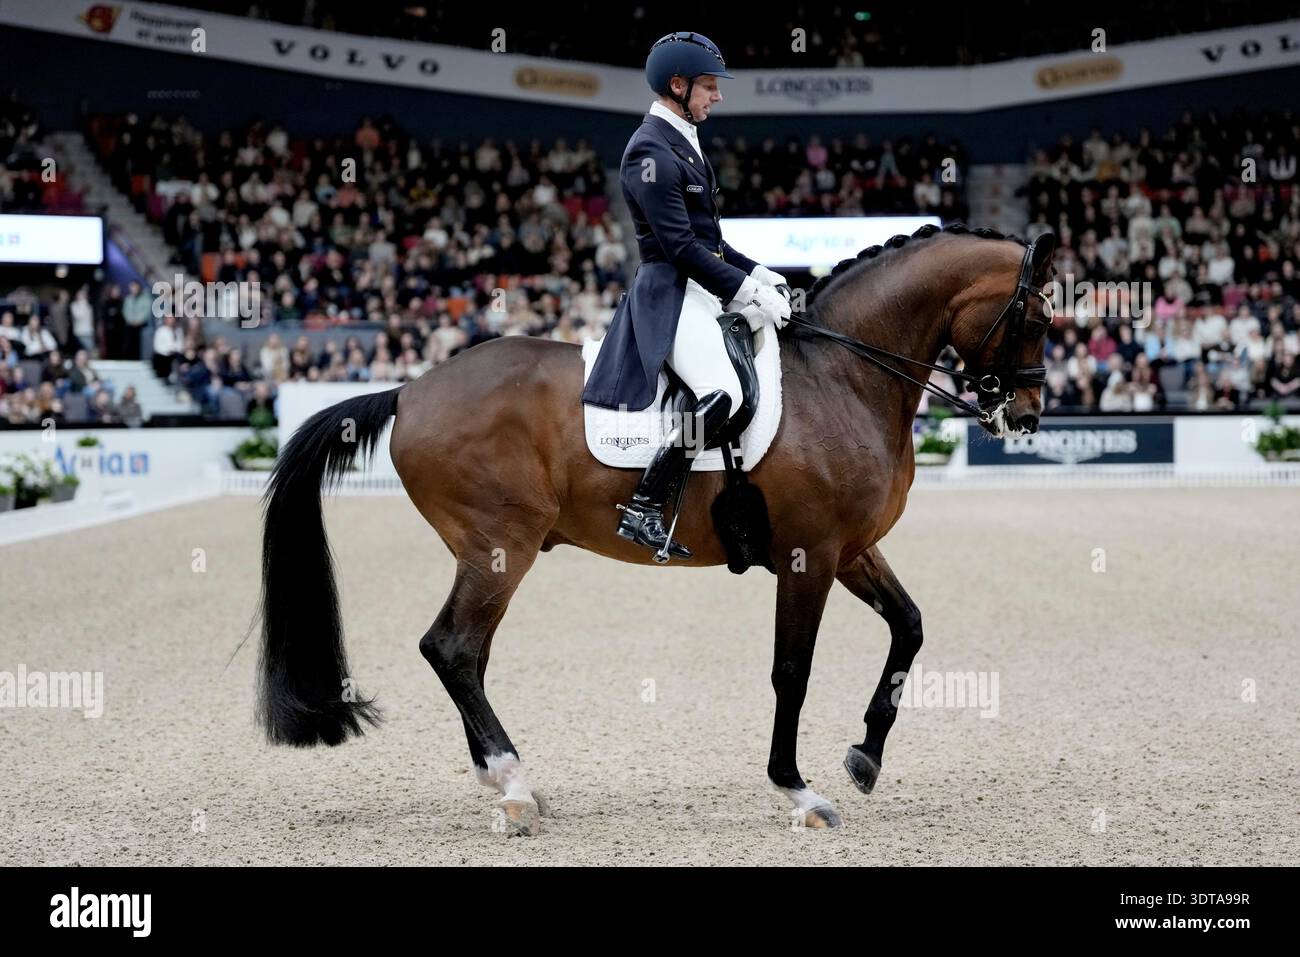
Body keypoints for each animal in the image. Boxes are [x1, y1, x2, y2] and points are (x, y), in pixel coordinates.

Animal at [255, 224, 1057, 835]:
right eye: (1040, 319)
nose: (1025, 417)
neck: (843, 373)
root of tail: (410, 389)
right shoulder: (810, 554)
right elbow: (791, 671)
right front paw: (798, 790)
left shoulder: (852, 549)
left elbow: (909, 628)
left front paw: (864, 758)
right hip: (500, 547)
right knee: (450, 648)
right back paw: (513, 784)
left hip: (493, 555)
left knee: (467, 656)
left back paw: (503, 781)